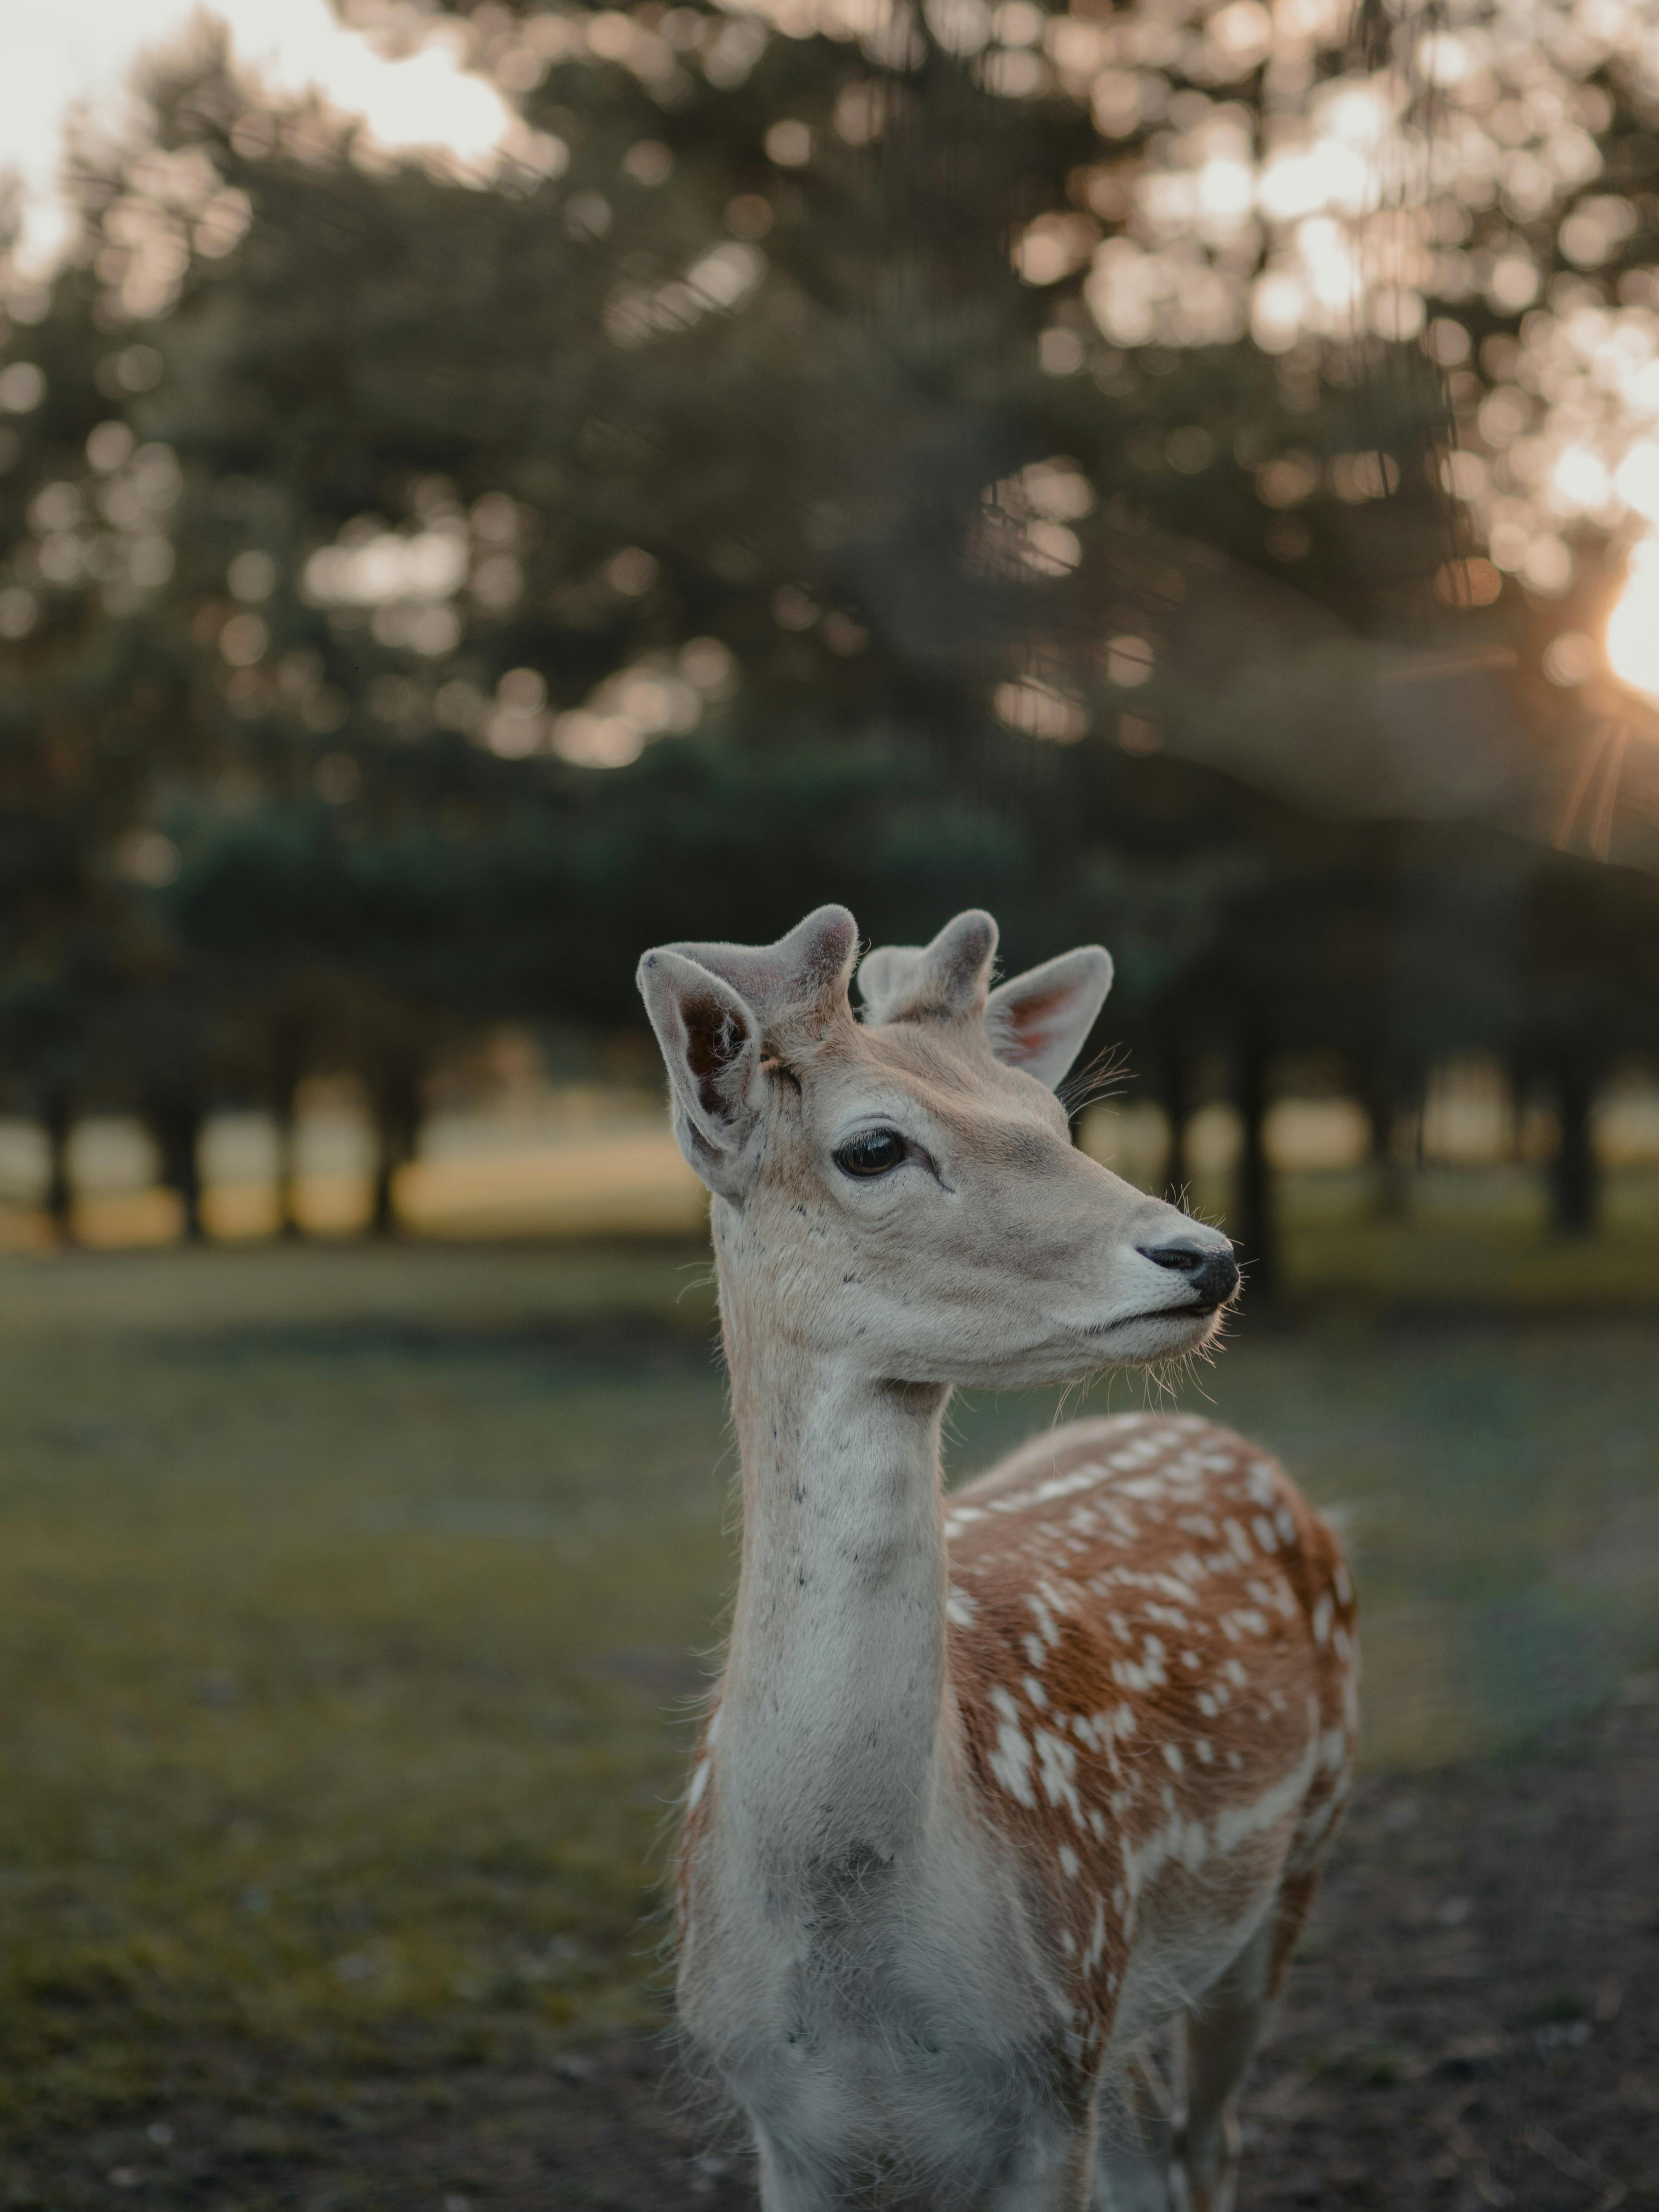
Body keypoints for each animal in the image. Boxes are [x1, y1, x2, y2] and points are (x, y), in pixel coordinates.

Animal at [636, 904, 1357, 2212]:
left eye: (1052, 1122)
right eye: (873, 1147)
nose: (1206, 1254)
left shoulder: (1052, 2071)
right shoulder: (778, 2123)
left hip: (1288, 1870)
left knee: (1210, 2141)